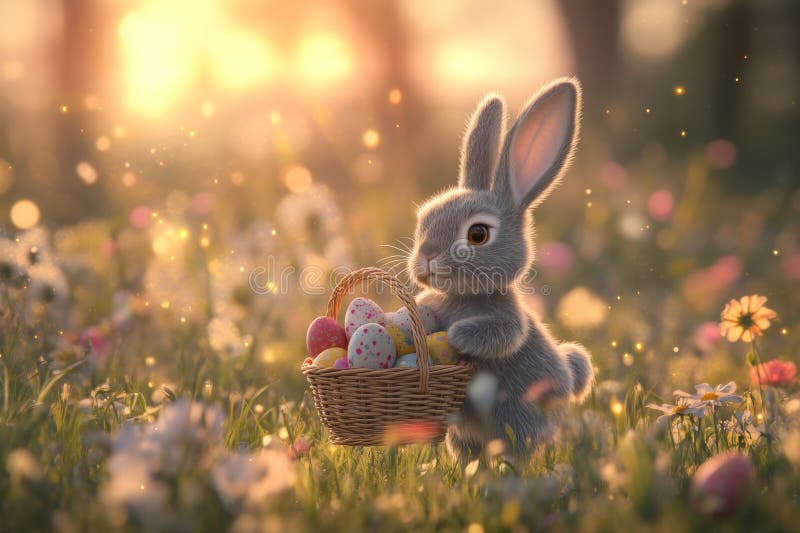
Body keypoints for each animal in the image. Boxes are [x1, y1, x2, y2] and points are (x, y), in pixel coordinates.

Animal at [406, 78, 594, 461]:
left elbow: (506, 335)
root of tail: (569, 378)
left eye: (477, 234)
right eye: (424, 220)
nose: (427, 257)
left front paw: (457, 335)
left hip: (518, 418)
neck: (462, 298)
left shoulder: (508, 316)